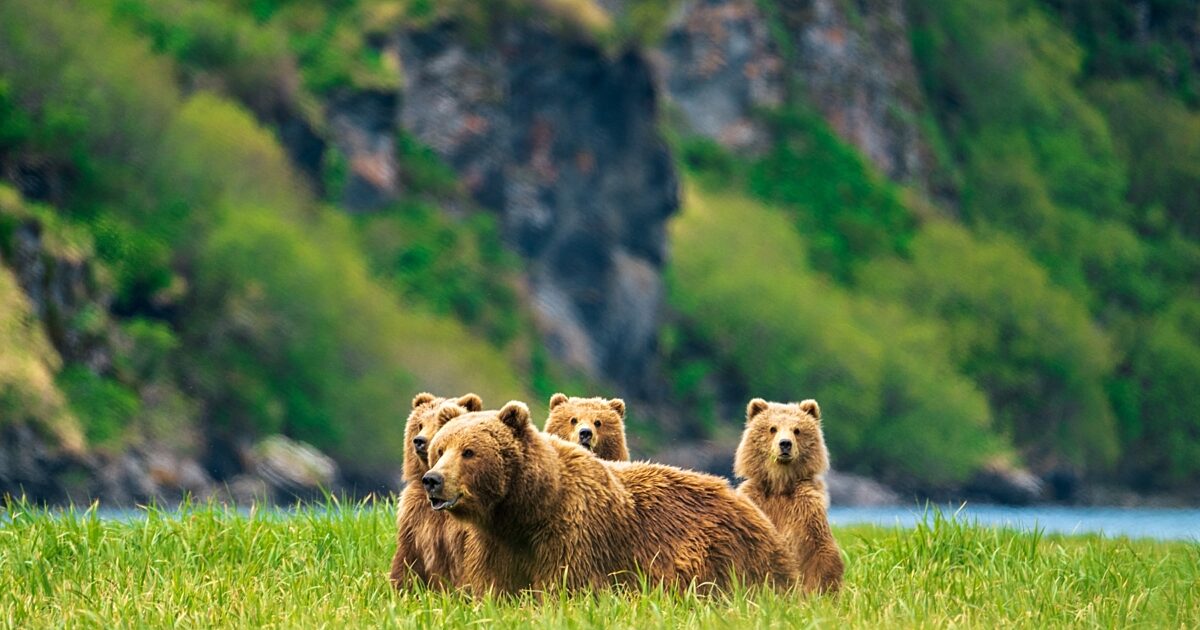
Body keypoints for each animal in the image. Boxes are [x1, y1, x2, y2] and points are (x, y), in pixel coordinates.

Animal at [389, 392, 482, 589]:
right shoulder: (415, 516)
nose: (419, 441)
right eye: (420, 424)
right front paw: (399, 587)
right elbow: (407, 558)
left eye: (440, 423)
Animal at [421, 400, 797, 595]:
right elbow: (495, 586)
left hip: (724, 553)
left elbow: (566, 586)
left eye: (469, 452)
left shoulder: (573, 534)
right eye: (441, 449)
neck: (526, 510)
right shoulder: (497, 544)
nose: (432, 480)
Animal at [734, 398, 844, 594]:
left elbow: (819, 550)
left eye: (797, 430)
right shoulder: (755, 499)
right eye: (772, 428)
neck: (780, 485)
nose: (785, 443)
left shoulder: (806, 507)